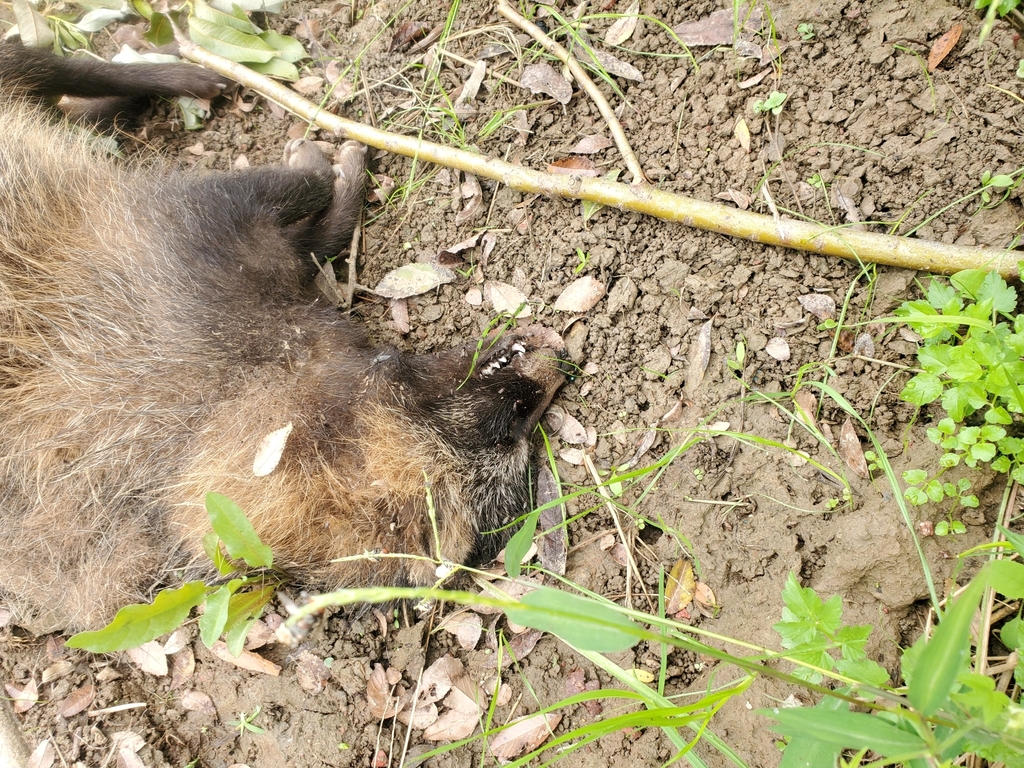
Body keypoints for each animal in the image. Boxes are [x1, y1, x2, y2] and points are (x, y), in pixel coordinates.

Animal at [0, 44, 567, 633]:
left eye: (519, 443)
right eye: (508, 427)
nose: (559, 366)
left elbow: (312, 238)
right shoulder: (200, 228)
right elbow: (306, 199)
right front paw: (332, 169)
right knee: (47, 63)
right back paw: (169, 77)